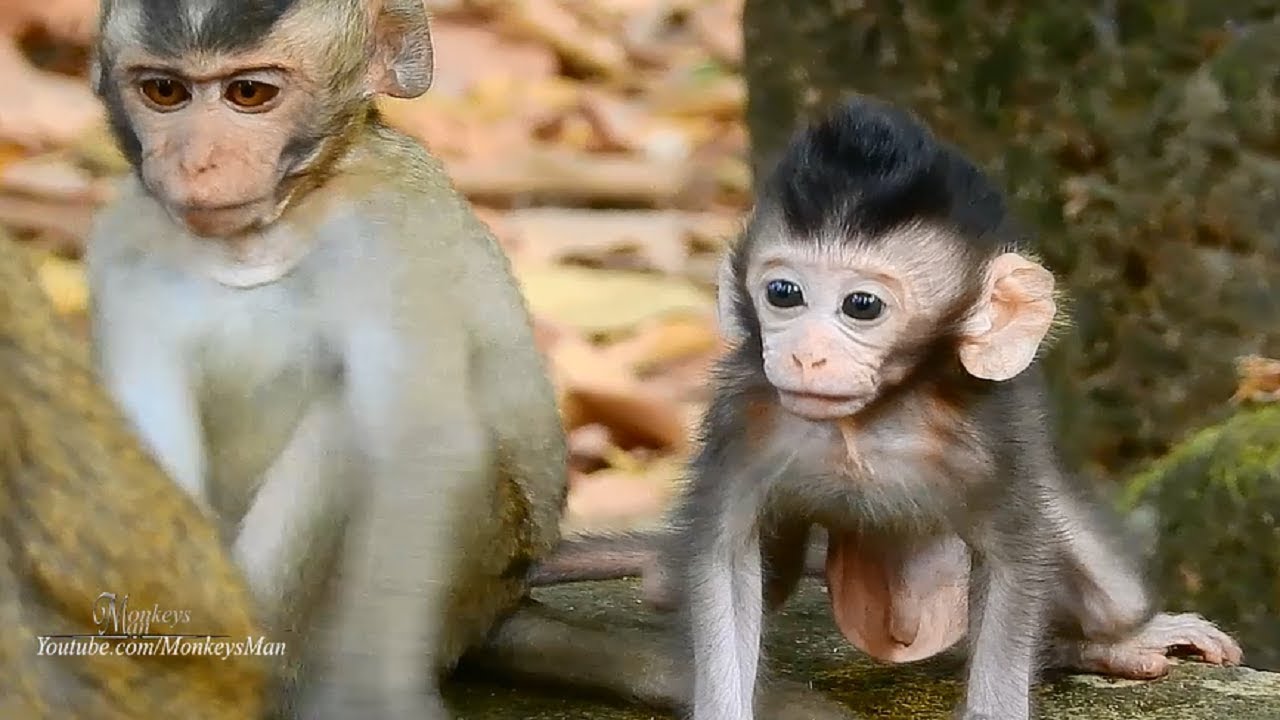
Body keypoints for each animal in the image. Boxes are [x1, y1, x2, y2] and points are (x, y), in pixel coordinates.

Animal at [82, 2, 861, 719]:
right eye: (164, 92)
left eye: (248, 94)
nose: (194, 162)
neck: (263, 235)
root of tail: (500, 607)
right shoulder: (124, 239)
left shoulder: (394, 237)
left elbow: (424, 448)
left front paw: (368, 694)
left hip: (473, 567)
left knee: (355, 421)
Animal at [532, 96, 1244, 720]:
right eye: (783, 293)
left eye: (862, 306)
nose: (807, 357)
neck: (868, 418)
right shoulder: (744, 416)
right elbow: (725, 560)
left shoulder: (996, 436)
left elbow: (1015, 571)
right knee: (669, 580)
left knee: (1110, 596)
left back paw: (1111, 642)